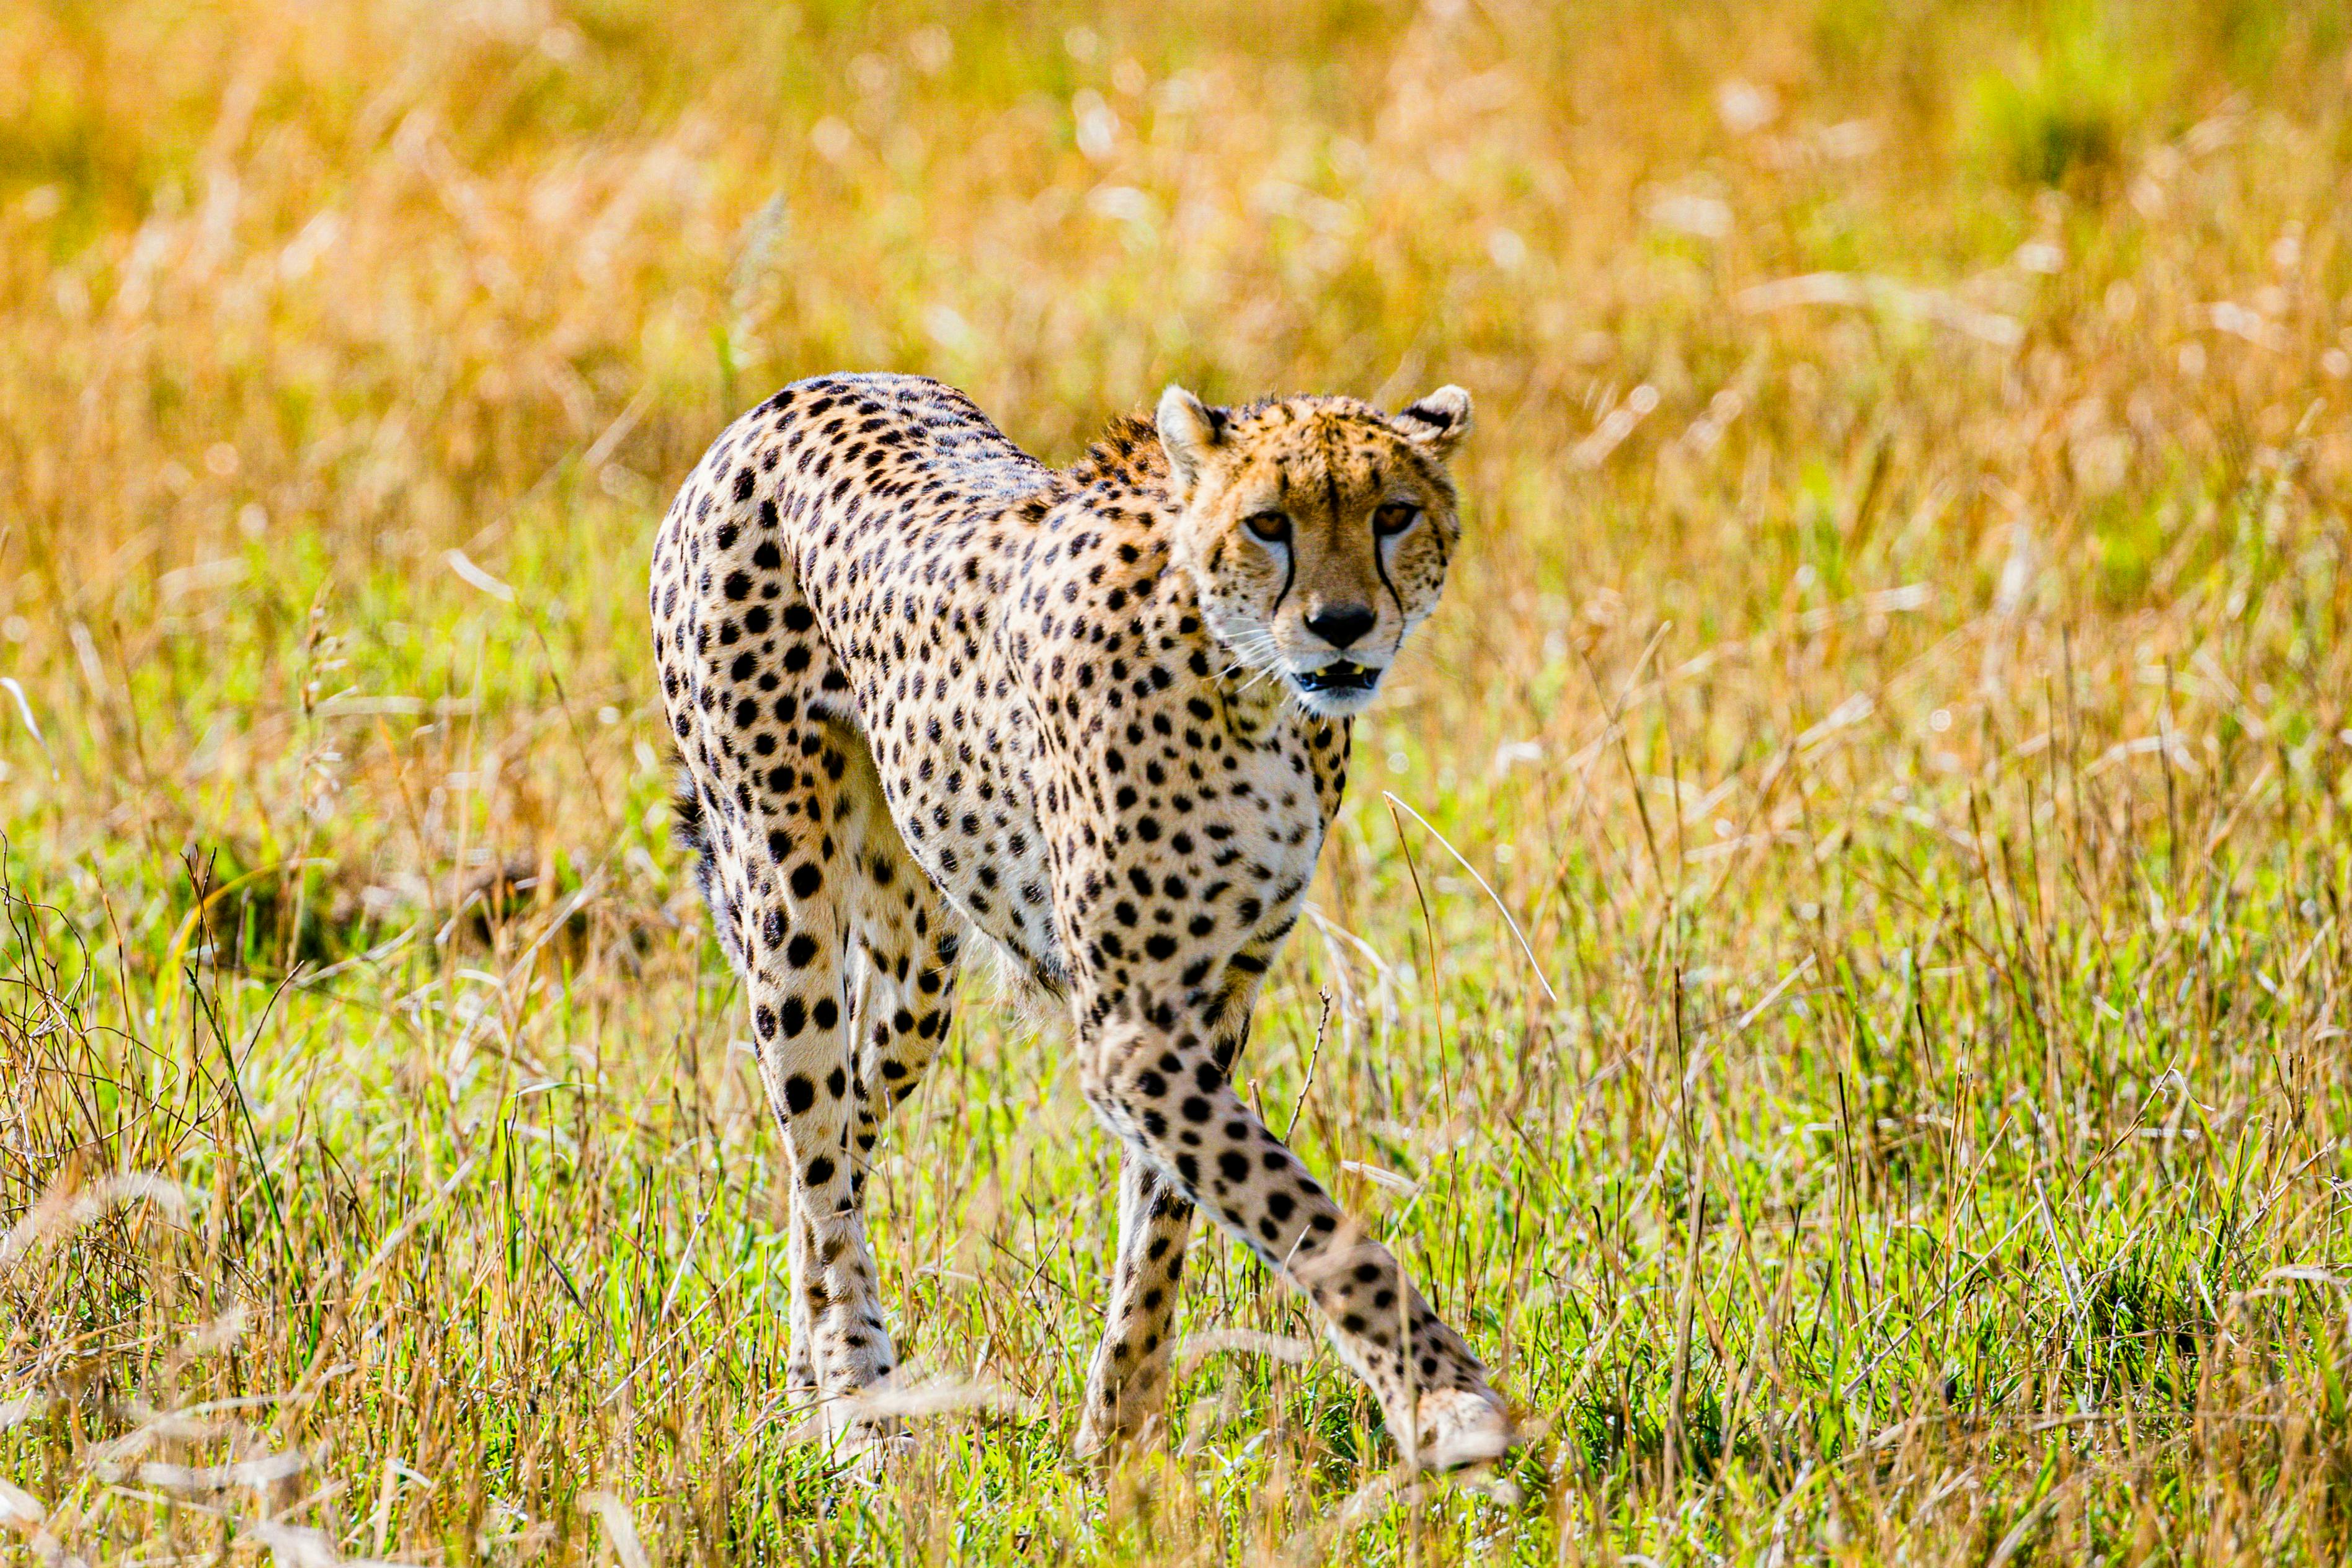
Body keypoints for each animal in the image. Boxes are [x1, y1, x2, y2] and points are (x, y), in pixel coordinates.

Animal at [649, 370, 1511, 1470]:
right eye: (1268, 523)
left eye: (1392, 515)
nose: (1344, 624)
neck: (1248, 688)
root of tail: (796, 392)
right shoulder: (1132, 1027)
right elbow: (1294, 1207)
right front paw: (1447, 1398)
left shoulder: (1210, 1004)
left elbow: (1168, 1224)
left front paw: (1117, 1440)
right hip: (784, 893)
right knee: (815, 1141)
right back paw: (857, 1410)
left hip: (918, 961)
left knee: (843, 1128)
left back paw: (809, 1380)